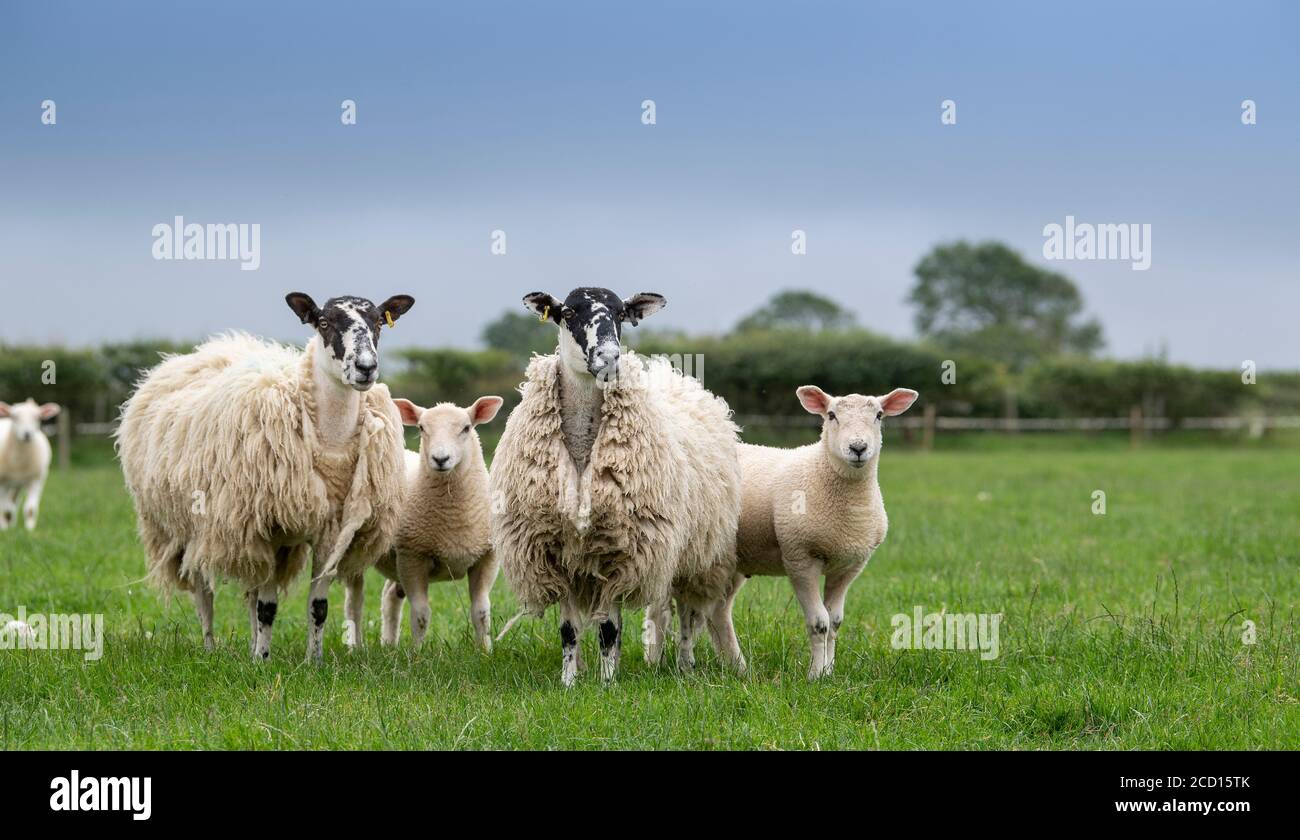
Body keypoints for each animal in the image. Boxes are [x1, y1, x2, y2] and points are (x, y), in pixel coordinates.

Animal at [0, 399, 60, 531]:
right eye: (15, 416)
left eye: (37, 417)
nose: (27, 434)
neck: (19, 462)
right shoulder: (3, 482)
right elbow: (6, 509)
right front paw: (5, 530)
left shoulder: (36, 479)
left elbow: (30, 509)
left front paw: (30, 530)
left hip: (16, 486)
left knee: (13, 501)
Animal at [115, 292, 414, 661]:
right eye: (323, 322)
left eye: (378, 324)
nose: (366, 368)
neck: (329, 437)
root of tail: (206, 351)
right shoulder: (269, 528)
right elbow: (268, 608)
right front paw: (263, 661)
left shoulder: (329, 533)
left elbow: (317, 607)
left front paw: (312, 661)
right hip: (187, 526)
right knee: (204, 592)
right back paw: (211, 647)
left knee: (251, 592)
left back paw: (251, 645)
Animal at [373, 395, 504, 651]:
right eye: (422, 428)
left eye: (466, 428)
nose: (440, 459)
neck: (453, 517)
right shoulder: (412, 556)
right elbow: (421, 614)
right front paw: (416, 654)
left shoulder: (487, 557)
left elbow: (481, 612)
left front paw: (485, 651)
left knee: (390, 595)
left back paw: (388, 645)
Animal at [490, 287, 743, 685]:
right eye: (567, 313)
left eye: (621, 313)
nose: (609, 358)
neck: (582, 454)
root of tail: (672, 375)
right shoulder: (557, 552)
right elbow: (570, 629)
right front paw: (569, 681)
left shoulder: (620, 549)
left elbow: (607, 628)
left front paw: (607, 684)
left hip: (695, 555)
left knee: (688, 615)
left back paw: (685, 666)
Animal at [707, 384, 919, 680]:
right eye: (831, 415)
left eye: (879, 415)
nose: (858, 448)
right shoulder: (800, 557)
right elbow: (820, 623)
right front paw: (815, 675)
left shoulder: (849, 566)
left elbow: (835, 622)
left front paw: (829, 672)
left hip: (734, 562)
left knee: (718, 612)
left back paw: (737, 668)